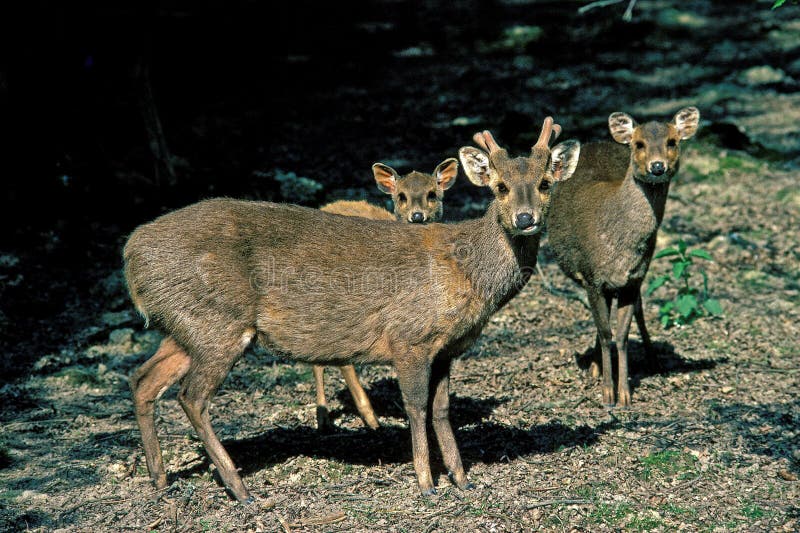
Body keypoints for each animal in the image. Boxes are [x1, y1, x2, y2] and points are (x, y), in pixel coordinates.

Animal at [546, 107, 700, 407]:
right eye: (639, 144)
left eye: (672, 141)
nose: (657, 166)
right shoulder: (592, 277)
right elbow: (607, 334)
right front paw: (608, 394)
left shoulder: (633, 279)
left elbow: (622, 335)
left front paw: (625, 394)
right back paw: (595, 367)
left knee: (638, 309)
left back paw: (653, 361)